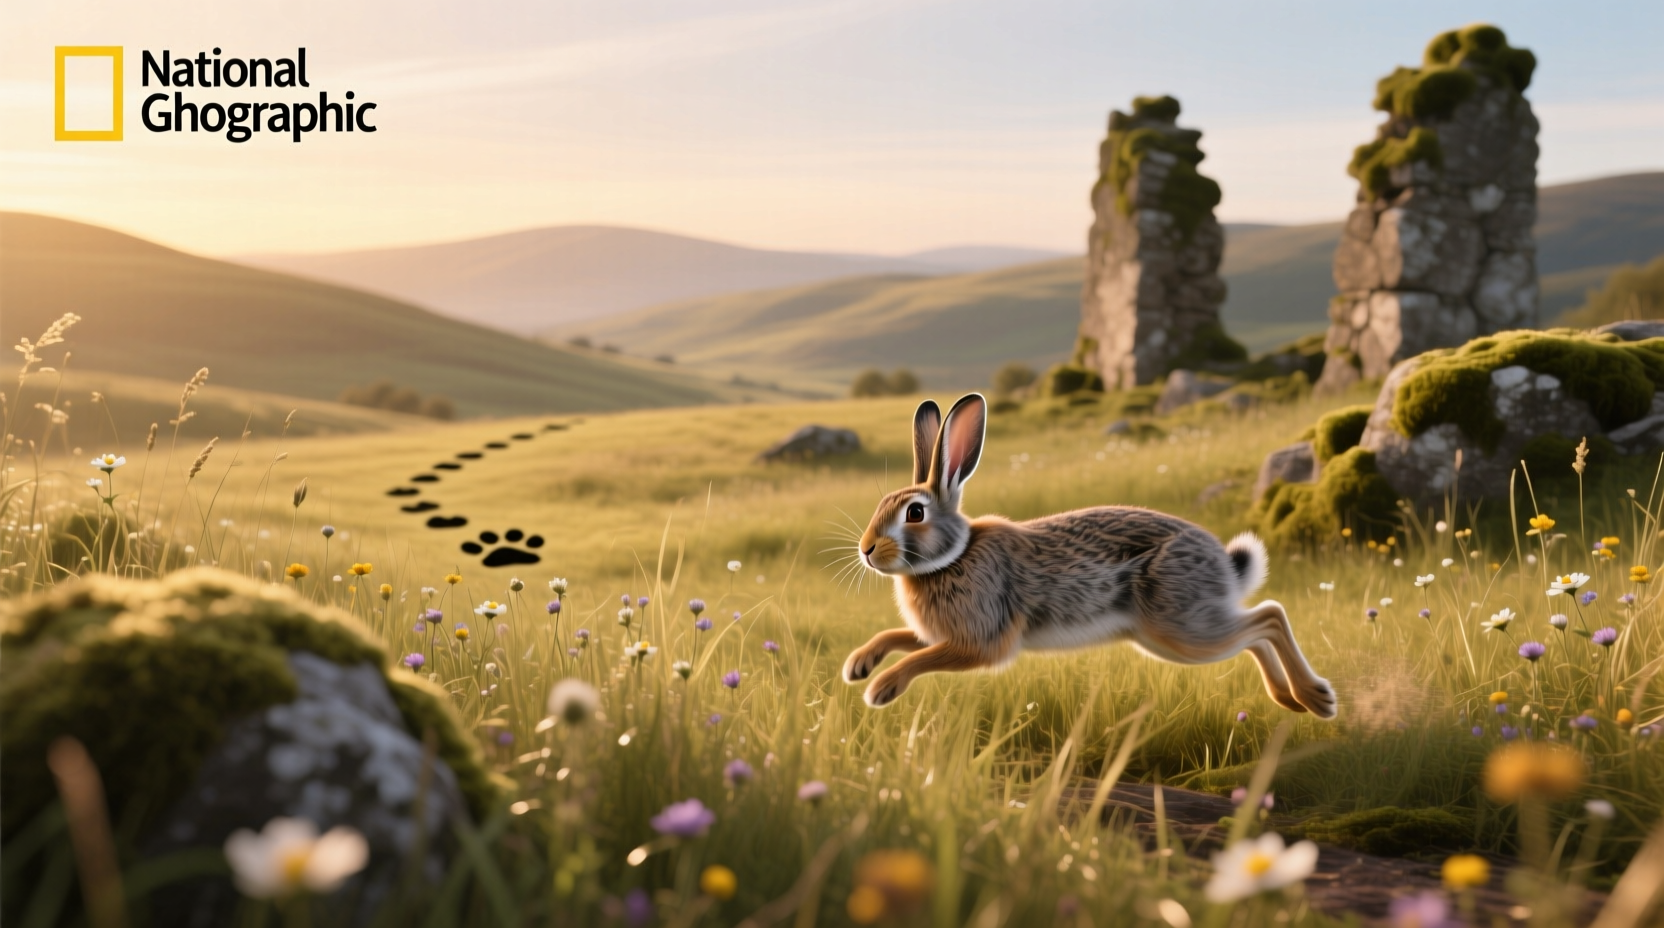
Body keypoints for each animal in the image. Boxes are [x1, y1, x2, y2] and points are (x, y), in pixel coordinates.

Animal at [842, 392, 1336, 717]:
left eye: (915, 512)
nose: (866, 550)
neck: (952, 557)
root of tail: (1225, 566)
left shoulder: (980, 640)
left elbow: (922, 658)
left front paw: (881, 688)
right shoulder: (938, 633)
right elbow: (897, 636)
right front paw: (858, 665)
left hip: (1184, 629)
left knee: (1269, 616)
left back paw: (1316, 698)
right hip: (1168, 639)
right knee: (1255, 632)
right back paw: (1288, 700)